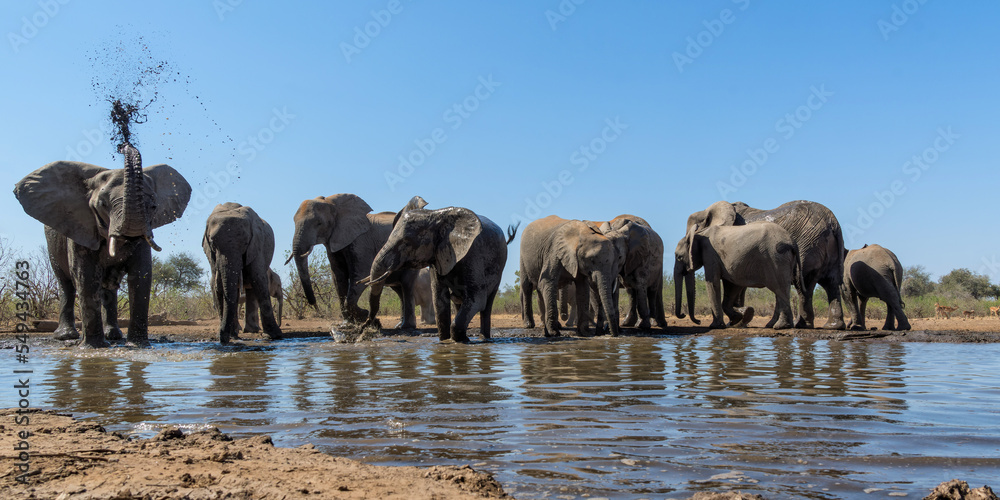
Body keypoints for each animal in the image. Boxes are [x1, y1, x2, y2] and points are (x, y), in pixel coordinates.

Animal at [14, 143, 191, 348]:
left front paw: (137, 345)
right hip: (52, 242)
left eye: (154, 206)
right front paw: (93, 347)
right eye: (102, 204)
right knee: (65, 283)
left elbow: (141, 274)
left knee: (109, 287)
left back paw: (113, 335)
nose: (124, 145)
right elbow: (86, 274)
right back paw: (66, 336)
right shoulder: (80, 225)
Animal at [203, 202, 282, 344]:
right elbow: (219, 285)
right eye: (212, 243)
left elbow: (258, 279)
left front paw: (274, 336)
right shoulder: (211, 256)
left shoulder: (256, 246)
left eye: (245, 243)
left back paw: (246, 332)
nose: (222, 339)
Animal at [286, 194, 426, 329]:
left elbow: (360, 274)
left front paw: (366, 316)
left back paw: (407, 327)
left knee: (406, 286)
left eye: (319, 223)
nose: (314, 304)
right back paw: (399, 325)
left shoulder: (360, 242)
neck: (333, 203)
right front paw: (347, 324)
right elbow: (338, 278)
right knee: (398, 289)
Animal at [362, 207, 518, 342]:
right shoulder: (437, 256)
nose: (367, 325)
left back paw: (484, 338)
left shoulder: (473, 254)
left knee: (487, 303)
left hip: (498, 269)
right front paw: (446, 341)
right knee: (458, 300)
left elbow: (477, 298)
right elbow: (439, 300)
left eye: (406, 242)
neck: (436, 215)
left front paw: (459, 341)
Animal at [682, 200, 846, 330]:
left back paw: (799, 325)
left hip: (808, 244)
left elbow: (732, 283)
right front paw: (740, 320)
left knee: (802, 286)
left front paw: (737, 322)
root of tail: (833, 222)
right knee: (830, 284)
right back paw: (833, 326)